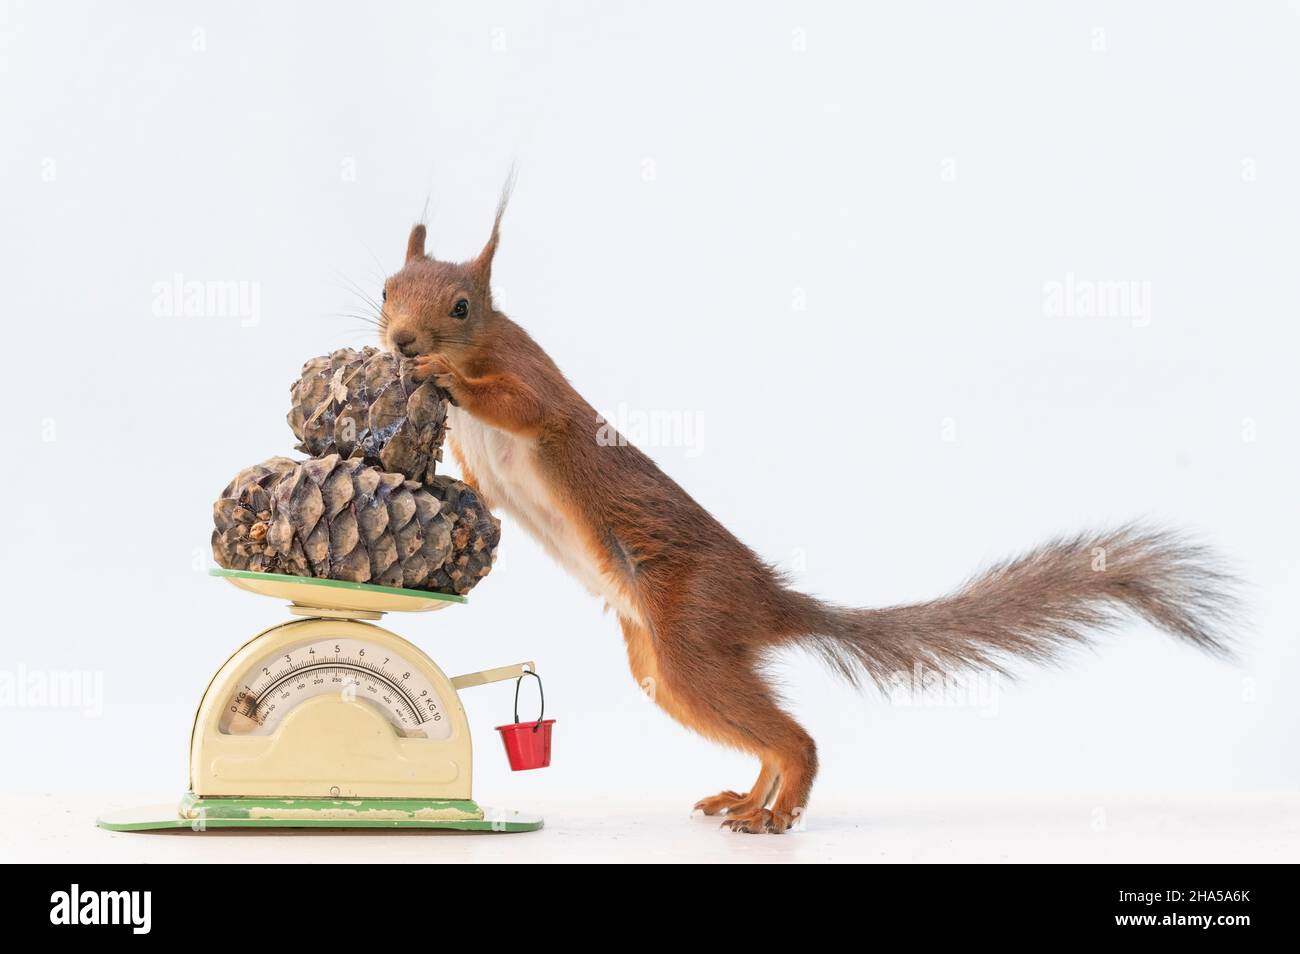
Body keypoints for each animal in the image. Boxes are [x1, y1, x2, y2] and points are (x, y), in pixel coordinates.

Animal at [382, 192, 1237, 834]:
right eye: (387, 287)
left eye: (461, 305)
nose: (401, 342)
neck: (480, 346)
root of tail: (770, 602)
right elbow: (478, 485)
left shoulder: (535, 384)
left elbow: (521, 407)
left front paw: (446, 379)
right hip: (661, 665)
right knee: (762, 738)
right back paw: (747, 797)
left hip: (690, 637)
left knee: (796, 738)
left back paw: (780, 808)